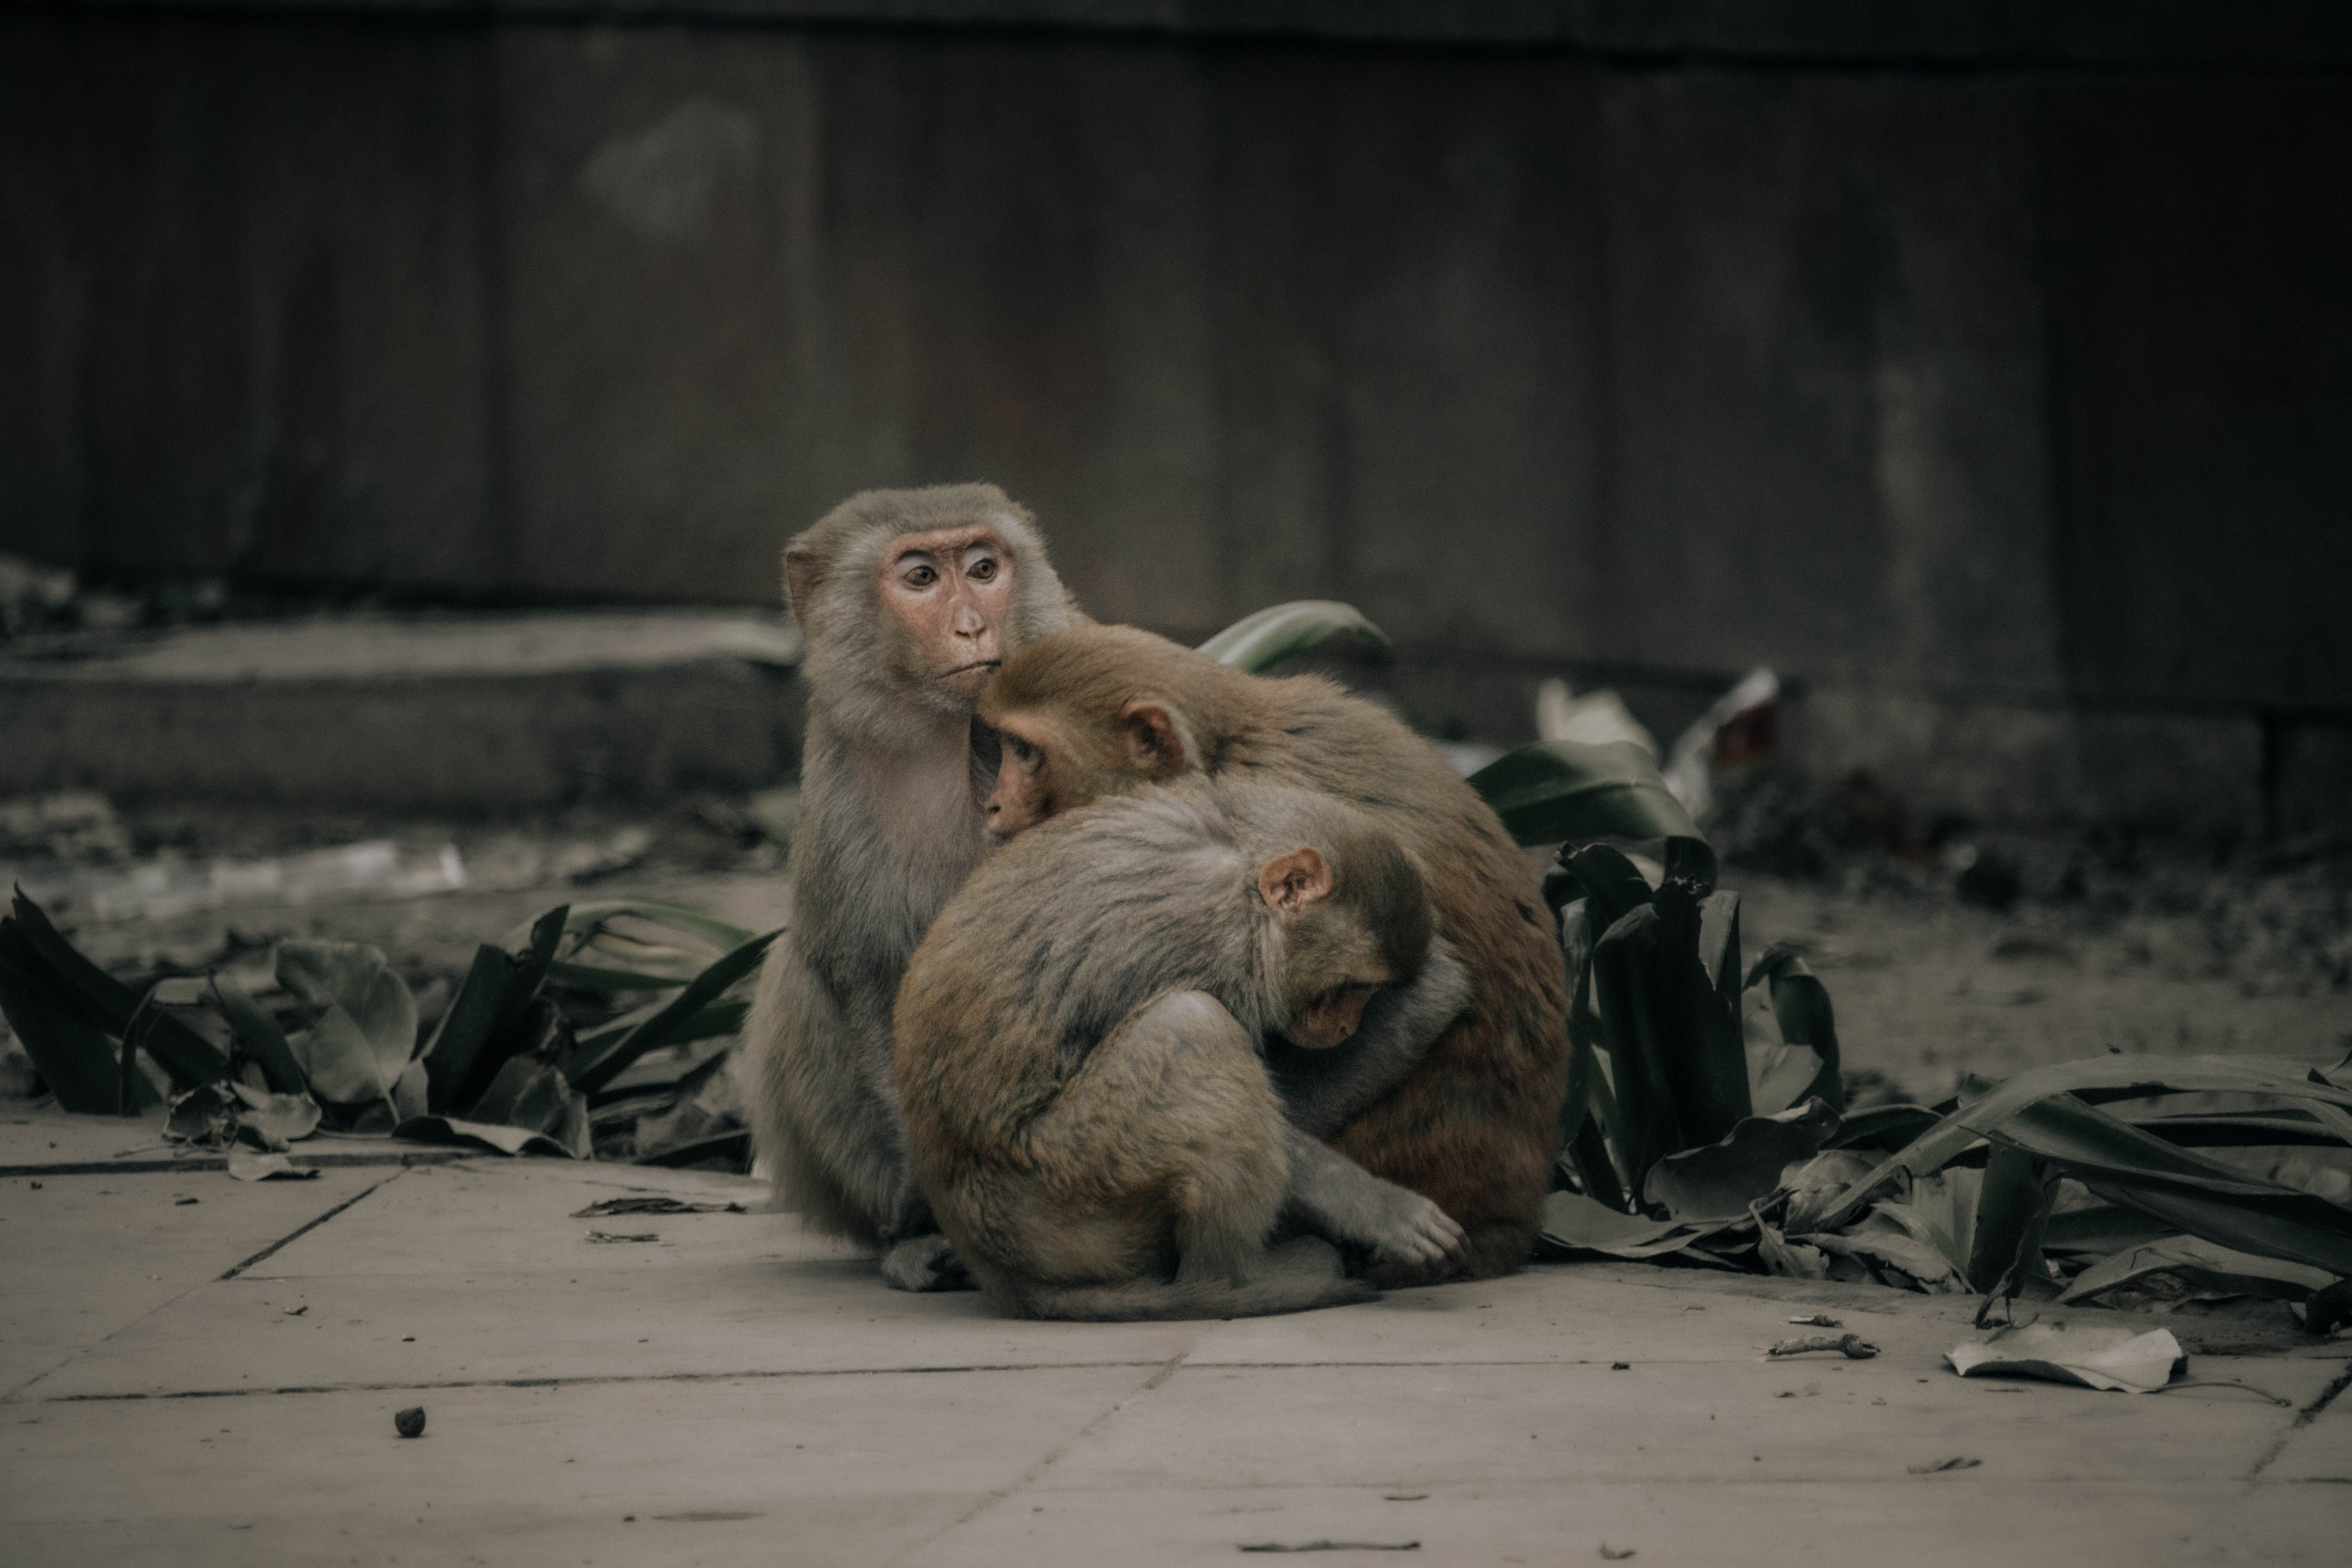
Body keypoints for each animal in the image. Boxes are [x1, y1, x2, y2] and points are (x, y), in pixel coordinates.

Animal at [741, 483, 1084, 1292]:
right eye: (922, 578)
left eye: (985, 568)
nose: (973, 625)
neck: (944, 737)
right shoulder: (837, 792)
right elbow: (865, 980)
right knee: (795, 978)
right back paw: (907, 1235)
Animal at [894, 778, 1465, 1319]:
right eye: (1350, 989)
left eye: (1366, 993)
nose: (1346, 1027)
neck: (1244, 877)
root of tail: (991, 1265)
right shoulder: (1210, 949)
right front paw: (1379, 1209)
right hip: (1065, 1196)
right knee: (1192, 1024)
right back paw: (1231, 1280)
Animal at [977, 622, 1572, 1286]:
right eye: (1005, 747)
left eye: (1026, 753)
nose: (994, 806)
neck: (1225, 748)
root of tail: (1511, 1228)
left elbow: (1426, 990)